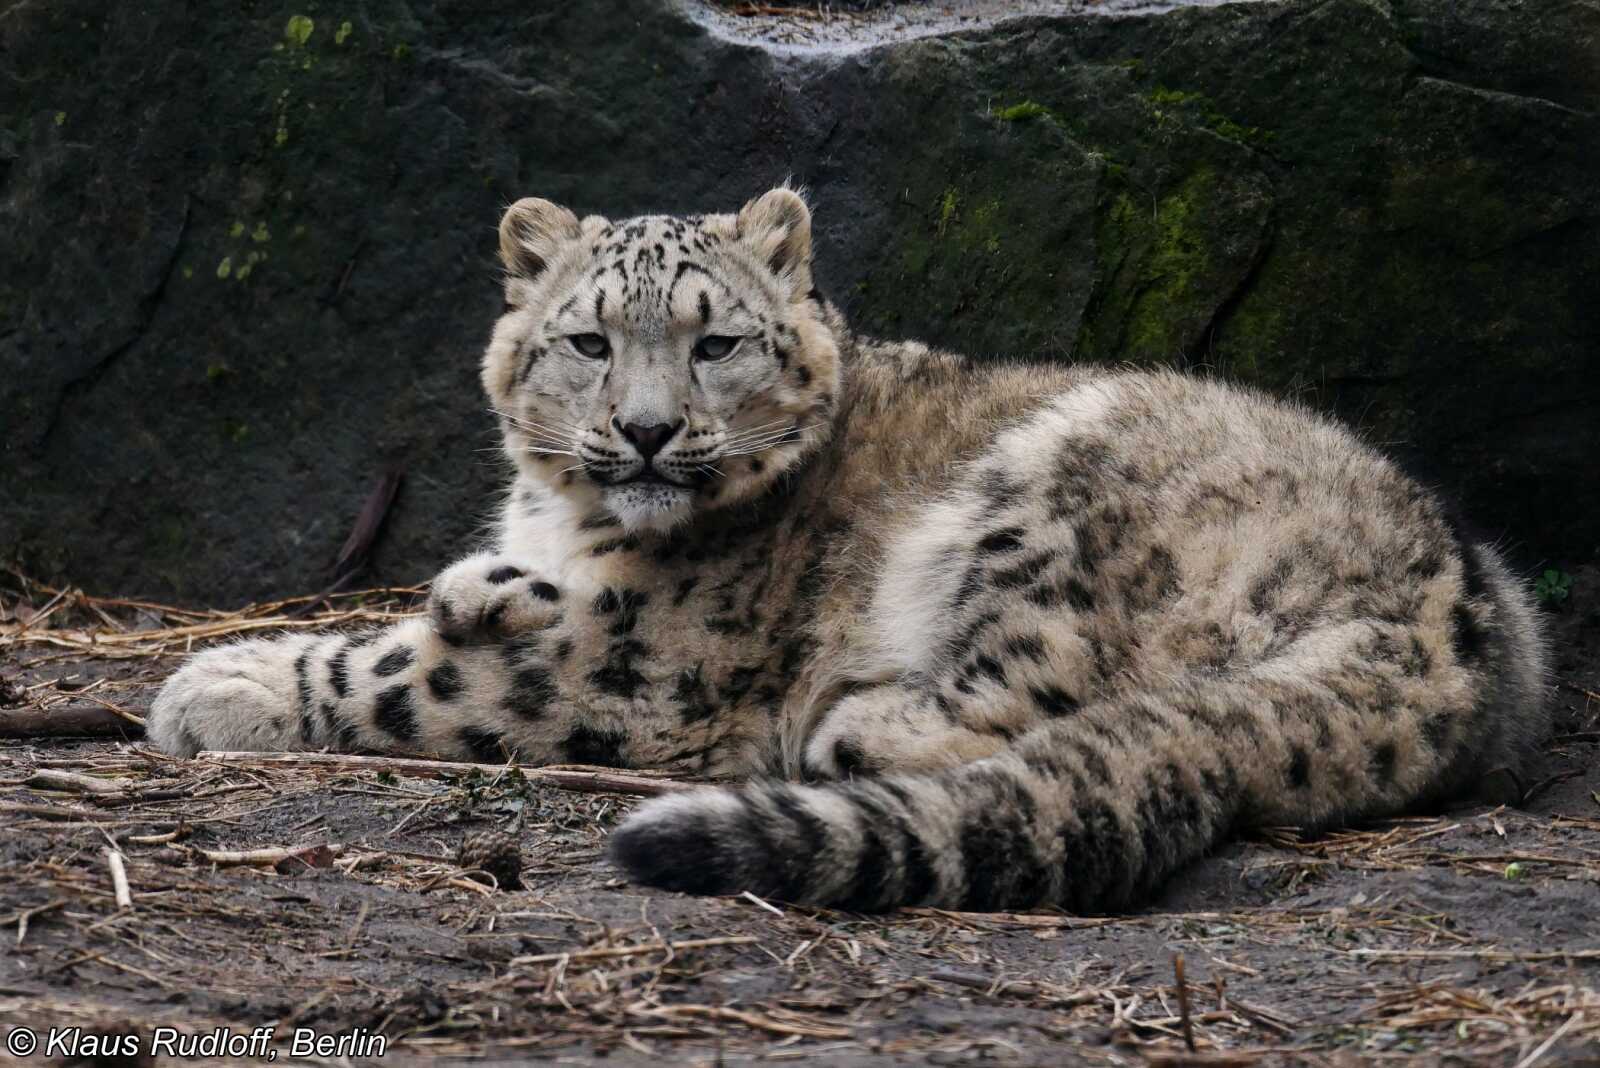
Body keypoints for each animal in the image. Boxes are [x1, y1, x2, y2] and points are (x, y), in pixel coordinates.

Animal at [147, 186, 1549, 913]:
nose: (647, 433)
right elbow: (463, 607)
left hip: (1051, 494)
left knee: (1035, 701)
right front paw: (478, 589)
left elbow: (406, 677)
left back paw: (854, 717)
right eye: (589, 341)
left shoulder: (650, 665)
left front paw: (222, 684)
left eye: (716, 342)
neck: (577, 529)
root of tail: (1449, 624)